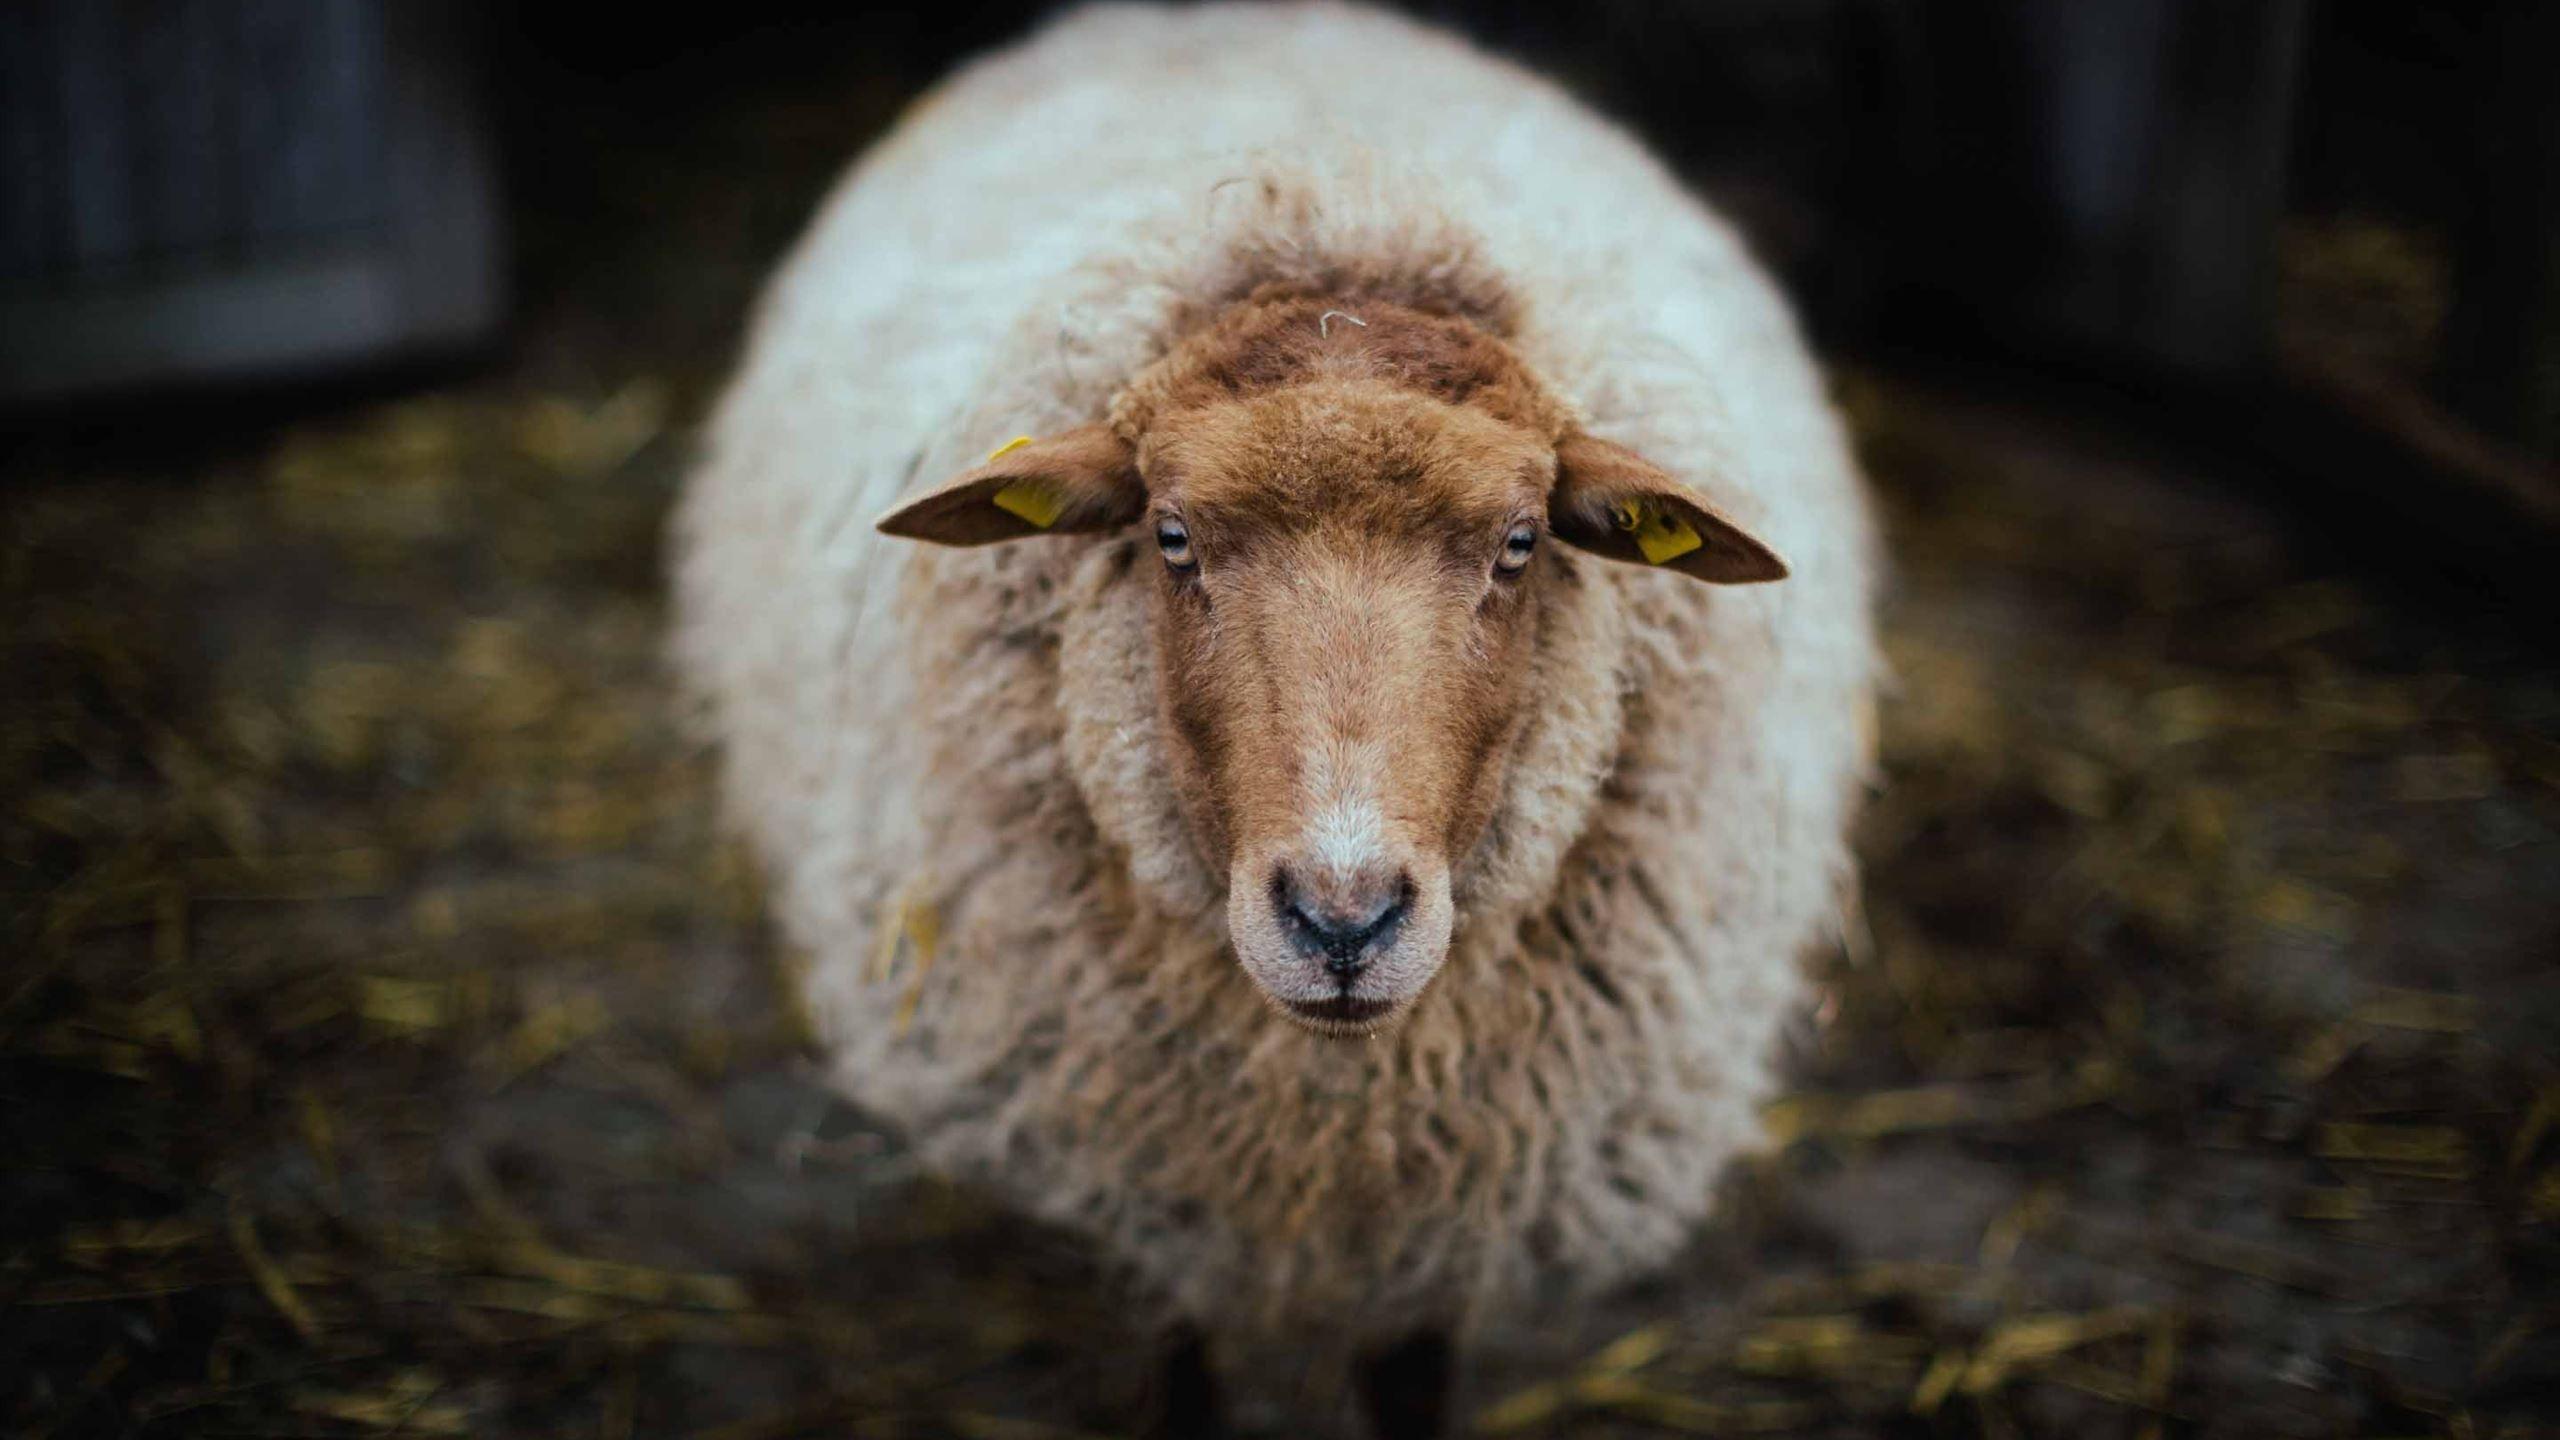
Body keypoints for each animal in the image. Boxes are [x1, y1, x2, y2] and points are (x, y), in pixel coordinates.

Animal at [671, 2, 1878, 1432]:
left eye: (1520, 543)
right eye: (1170, 535)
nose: (1341, 921)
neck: (1329, 1120)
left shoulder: (1444, 1219)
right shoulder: (1166, 1196)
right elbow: (1183, 1353)